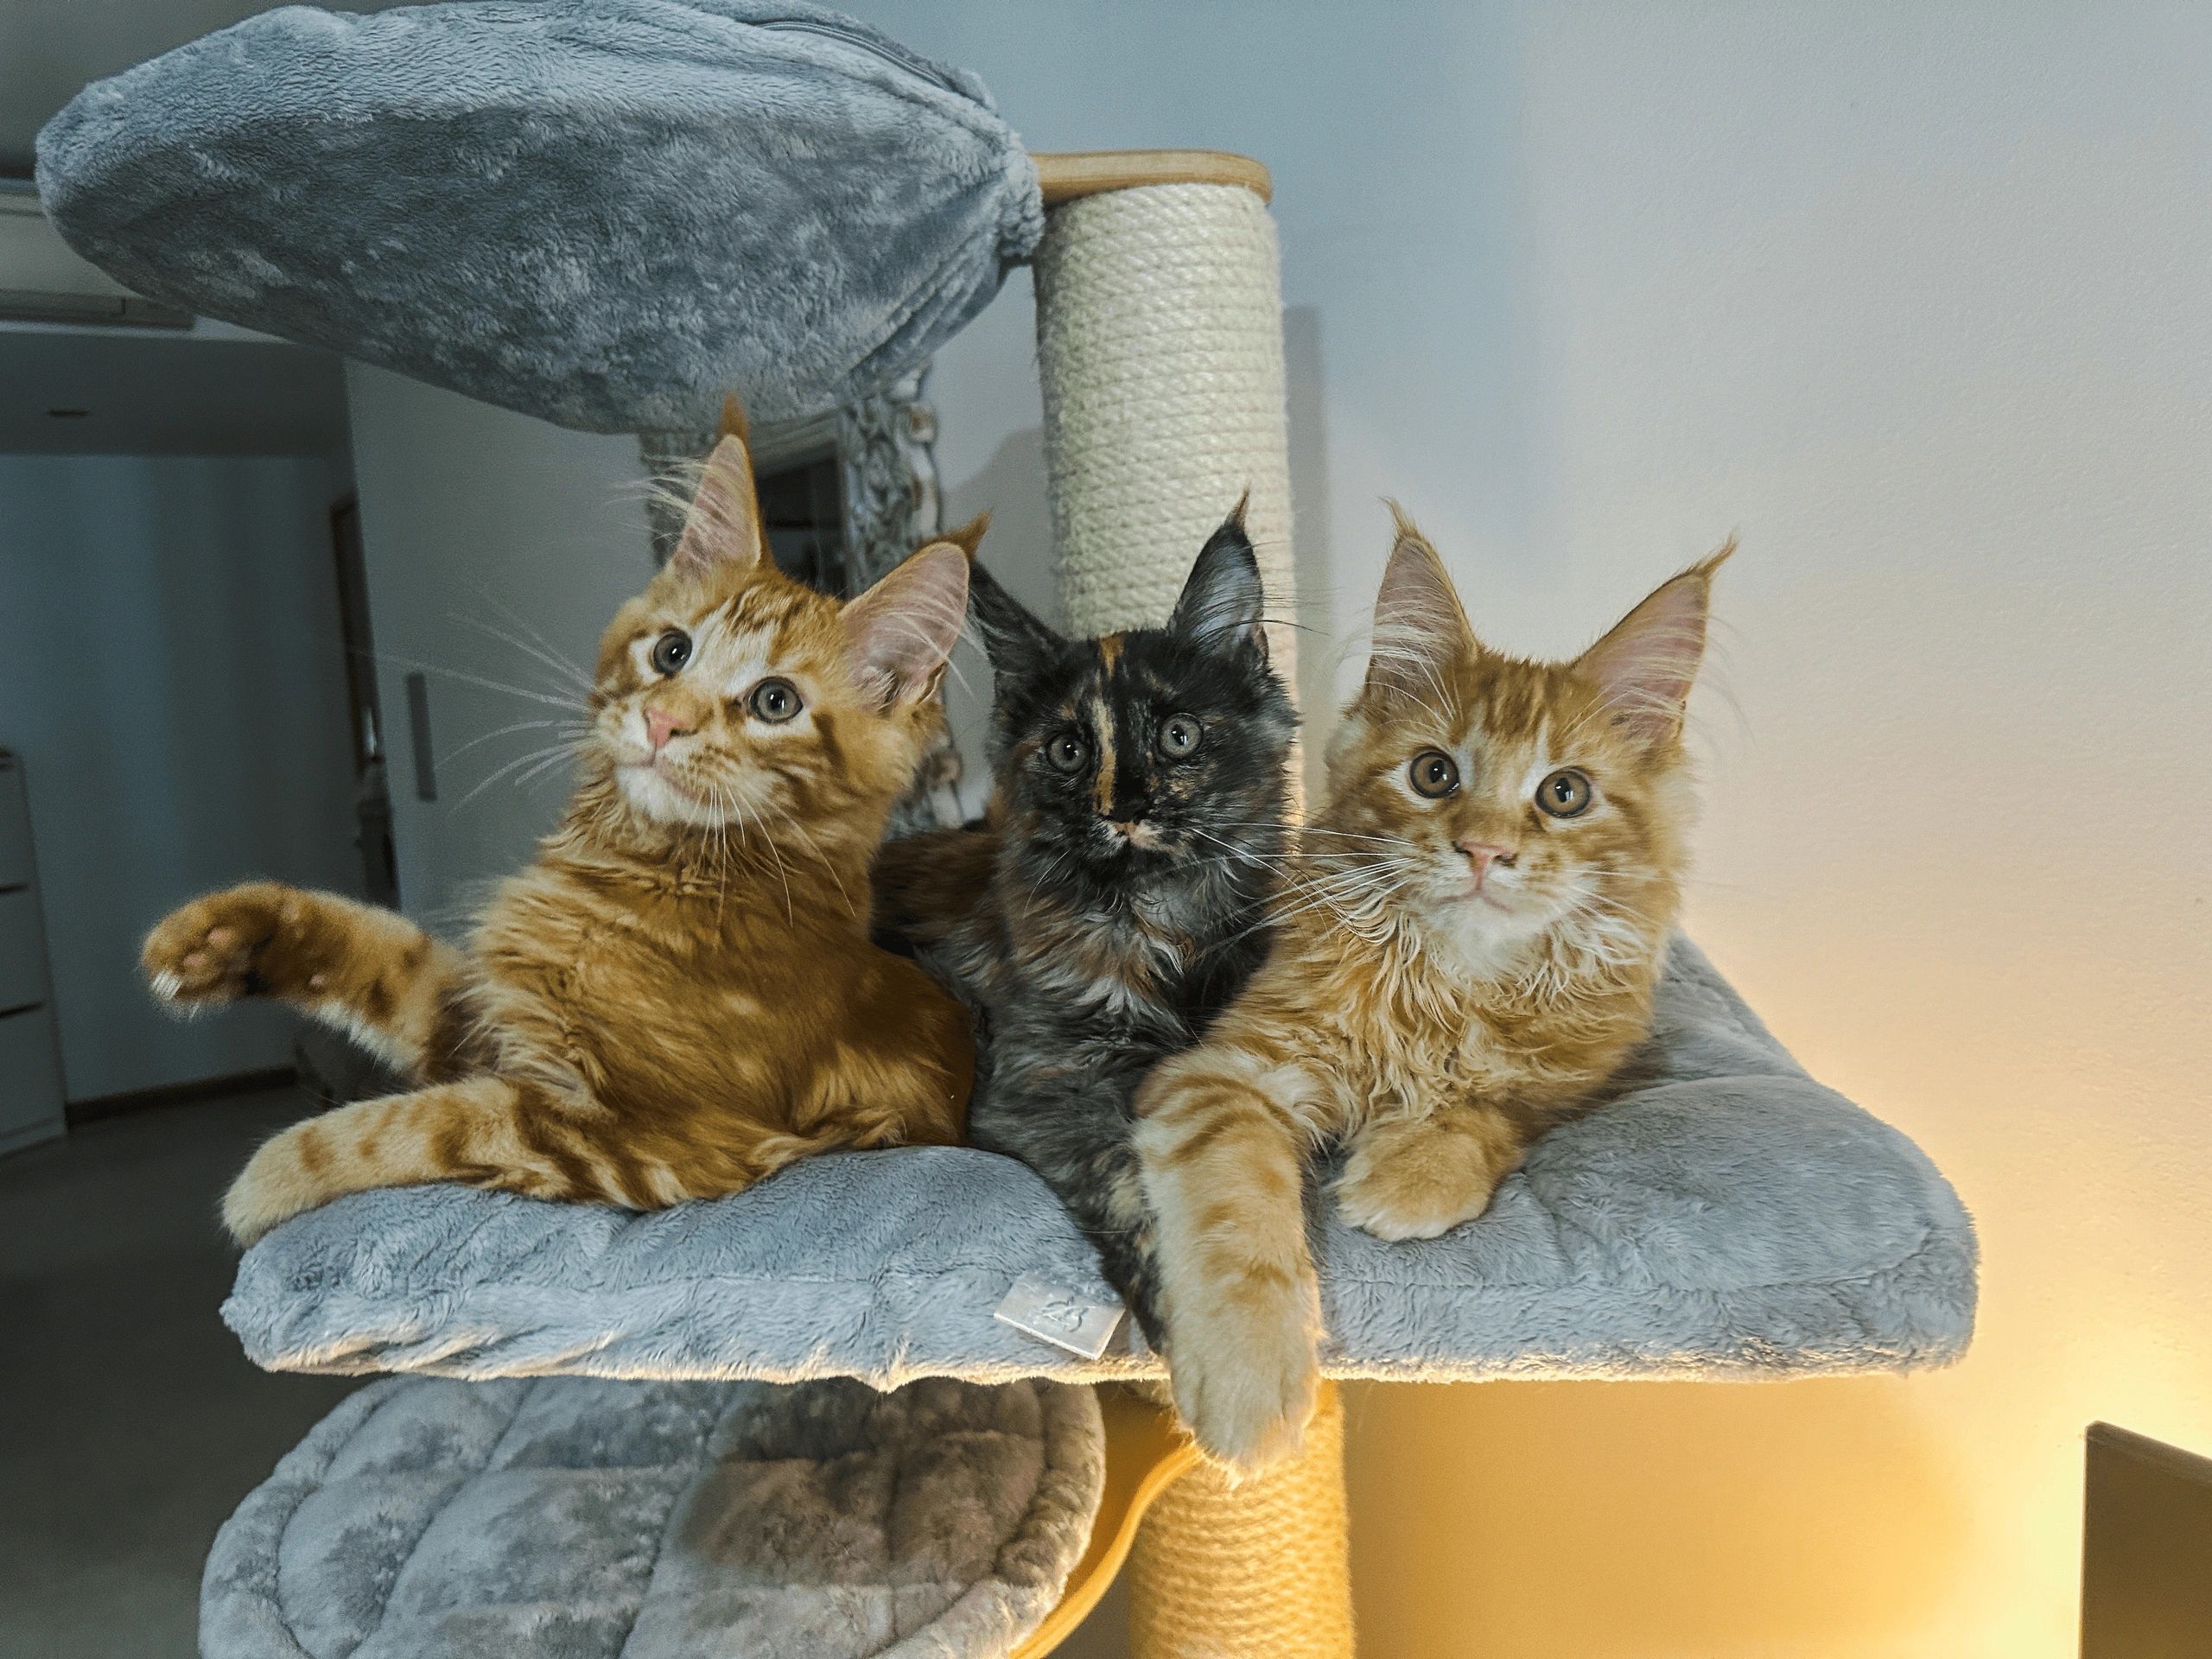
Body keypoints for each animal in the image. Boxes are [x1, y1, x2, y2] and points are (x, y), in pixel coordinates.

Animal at [143, 407, 979, 1244]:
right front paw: (221, 938)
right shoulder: (483, 1021)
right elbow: (379, 946)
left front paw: (265, 1179)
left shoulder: (652, 1134)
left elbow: (411, 1124)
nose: (663, 721)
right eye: (672, 651)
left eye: (776, 702)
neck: (643, 868)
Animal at [872, 509, 1297, 1343]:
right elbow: (1130, 1175)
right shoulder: (1044, 1084)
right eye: (1069, 751)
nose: (1123, 807)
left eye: (1178, 737)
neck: (1159, 923)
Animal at [1134, 510, 1729, 1470]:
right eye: (1433, 774)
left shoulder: (1580, 1074)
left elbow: (1488, 1106)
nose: (1484, 850)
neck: (1451, 979)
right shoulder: (1222, 1075)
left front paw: (1412, 1174)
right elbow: (1237, 1224)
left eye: (1565, 793)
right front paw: (1248, 1389)